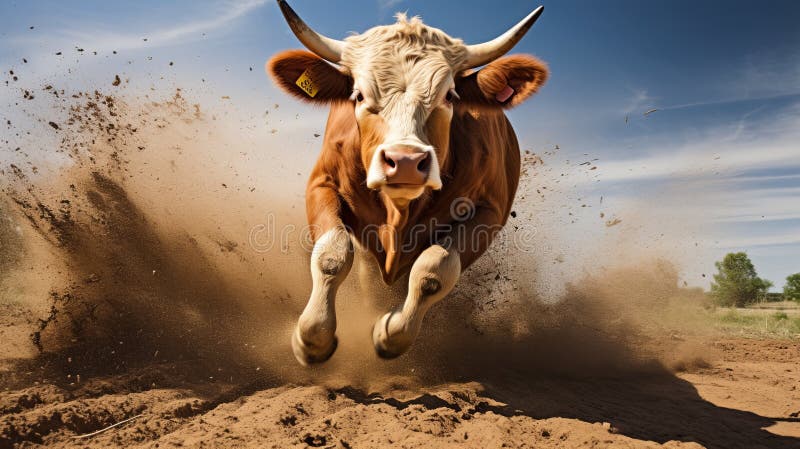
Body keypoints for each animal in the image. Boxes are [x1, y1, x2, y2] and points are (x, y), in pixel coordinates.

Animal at [267, 0, 548, 365]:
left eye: (450, 96)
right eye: (359, 95)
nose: (404, 162)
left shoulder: (490, 212)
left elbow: (434, 270)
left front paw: (391, 331)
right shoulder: (322, 184)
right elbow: (332, 254)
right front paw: (313, 335)